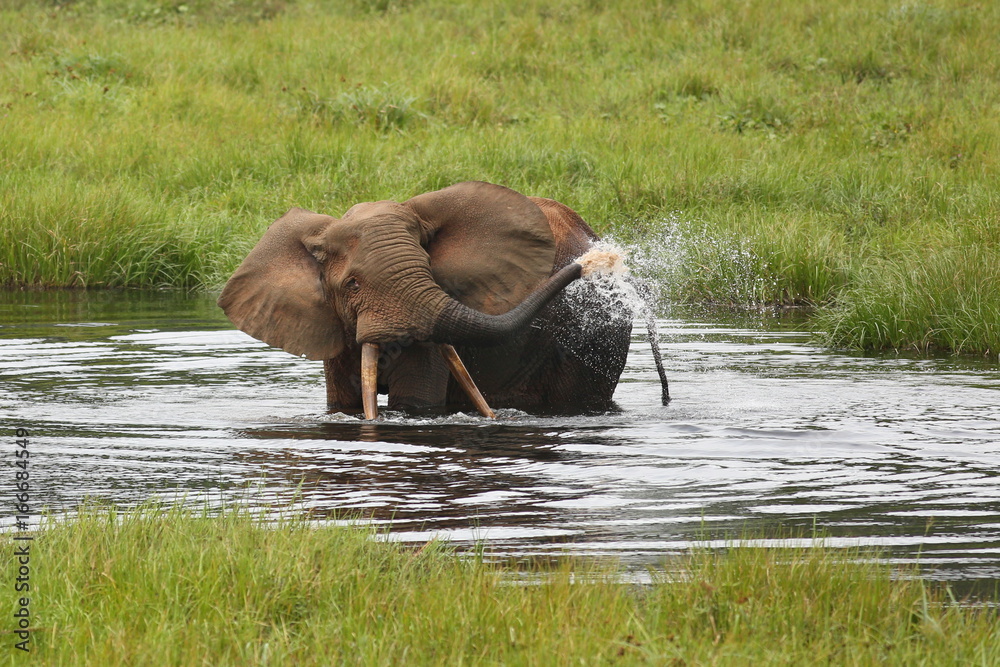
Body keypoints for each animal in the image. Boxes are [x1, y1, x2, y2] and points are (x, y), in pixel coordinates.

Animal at [218, 181, 668, 418]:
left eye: (428, 269)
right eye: (352, 285)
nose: (595, 263)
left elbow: (415, 402)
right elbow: (342, 403)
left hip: (597, 330)